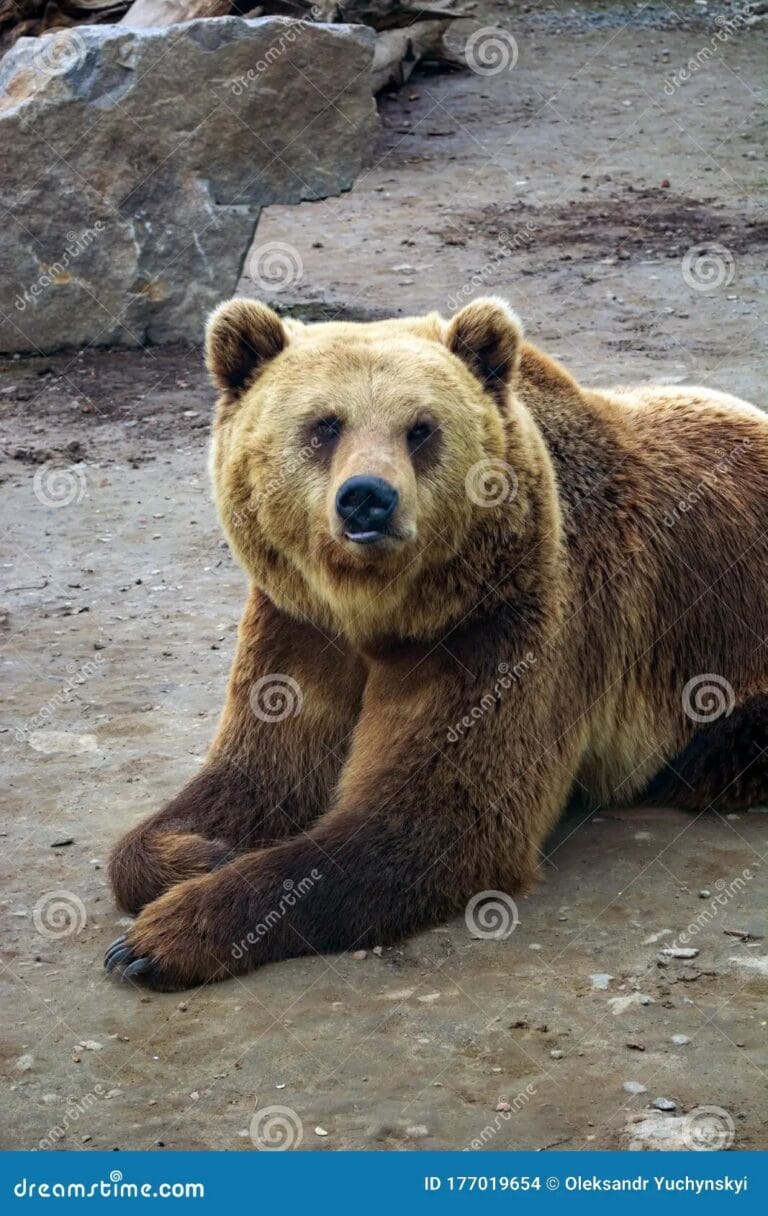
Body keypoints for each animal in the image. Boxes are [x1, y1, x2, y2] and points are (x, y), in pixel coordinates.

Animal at [105, 296, 768, 989]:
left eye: (420, 429)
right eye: (325, 425)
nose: (366, 498)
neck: (374, 610)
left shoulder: (496, 623)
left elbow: (434, 818)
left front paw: (164, 935)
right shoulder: (299, 625)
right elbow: (256, 776)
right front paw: (197, 852)